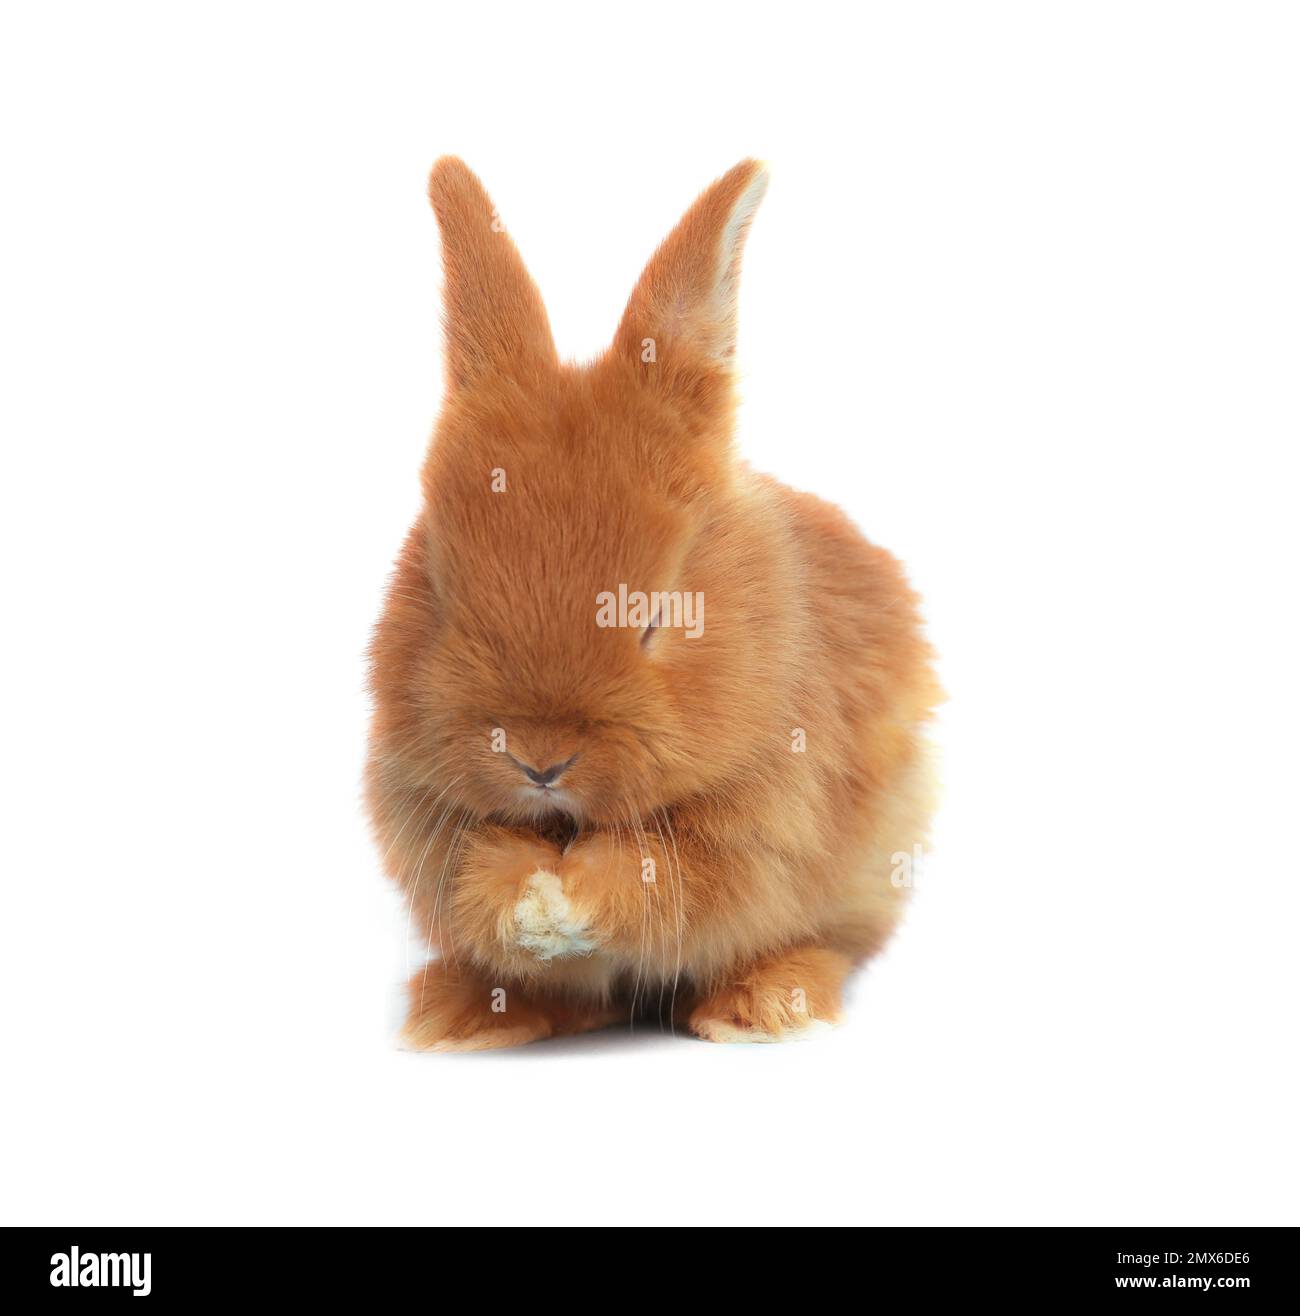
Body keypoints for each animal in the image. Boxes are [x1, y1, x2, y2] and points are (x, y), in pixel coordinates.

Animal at [366, 157, 940, 1050]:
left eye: (656, 619)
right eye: (441, 588)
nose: (539, 759)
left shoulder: (762, 820)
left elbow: (668, 878)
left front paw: (571, 898)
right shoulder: (424, 811)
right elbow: (478, 874)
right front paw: (528, 900)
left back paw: (763, 1006)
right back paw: (461, 1013)